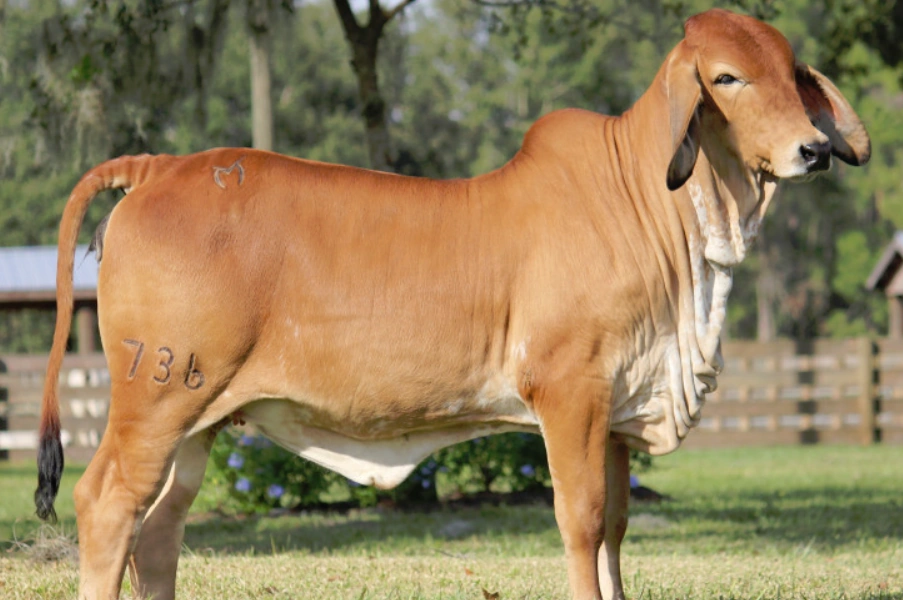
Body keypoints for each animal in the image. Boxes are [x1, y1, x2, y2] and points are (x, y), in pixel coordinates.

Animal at [35, 8, 869, 600]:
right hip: (157, 395)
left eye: (790, 70)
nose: (811, 149)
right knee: (106, 507)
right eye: (726, 78)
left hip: (199, 420)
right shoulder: (568, 393)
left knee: (158, 535)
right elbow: (580, 522)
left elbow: (616, 528)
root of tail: (159, 166)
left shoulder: (616, 411)